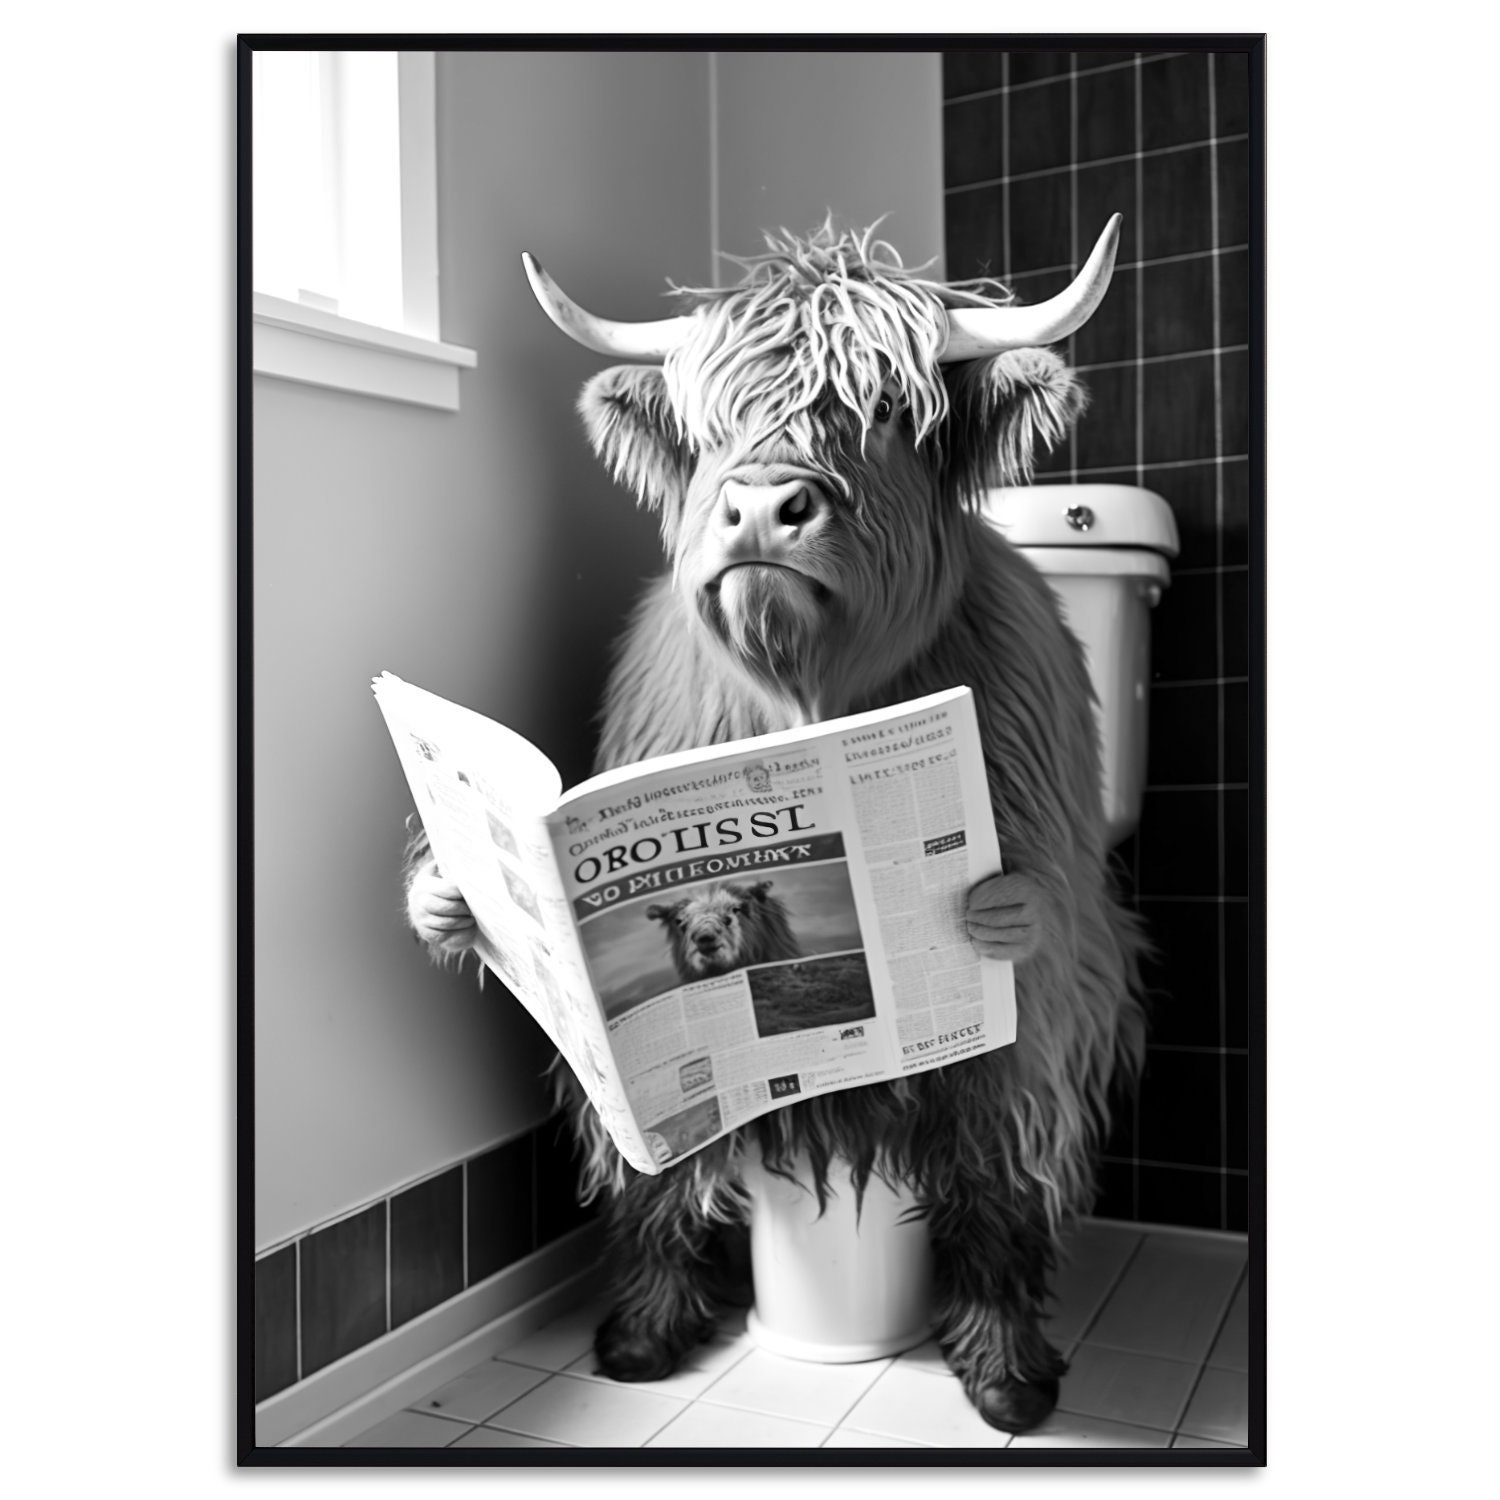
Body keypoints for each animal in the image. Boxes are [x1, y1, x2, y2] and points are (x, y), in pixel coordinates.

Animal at [404, 217, 1147, 1433]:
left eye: (885, 407)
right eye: (711, 425)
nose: (760, 506)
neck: (807, 699)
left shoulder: (1057, 938)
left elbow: (1011, 1103)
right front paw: (445, 893)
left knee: (999, 1142)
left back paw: (1003, 1367)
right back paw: (652, 1320)